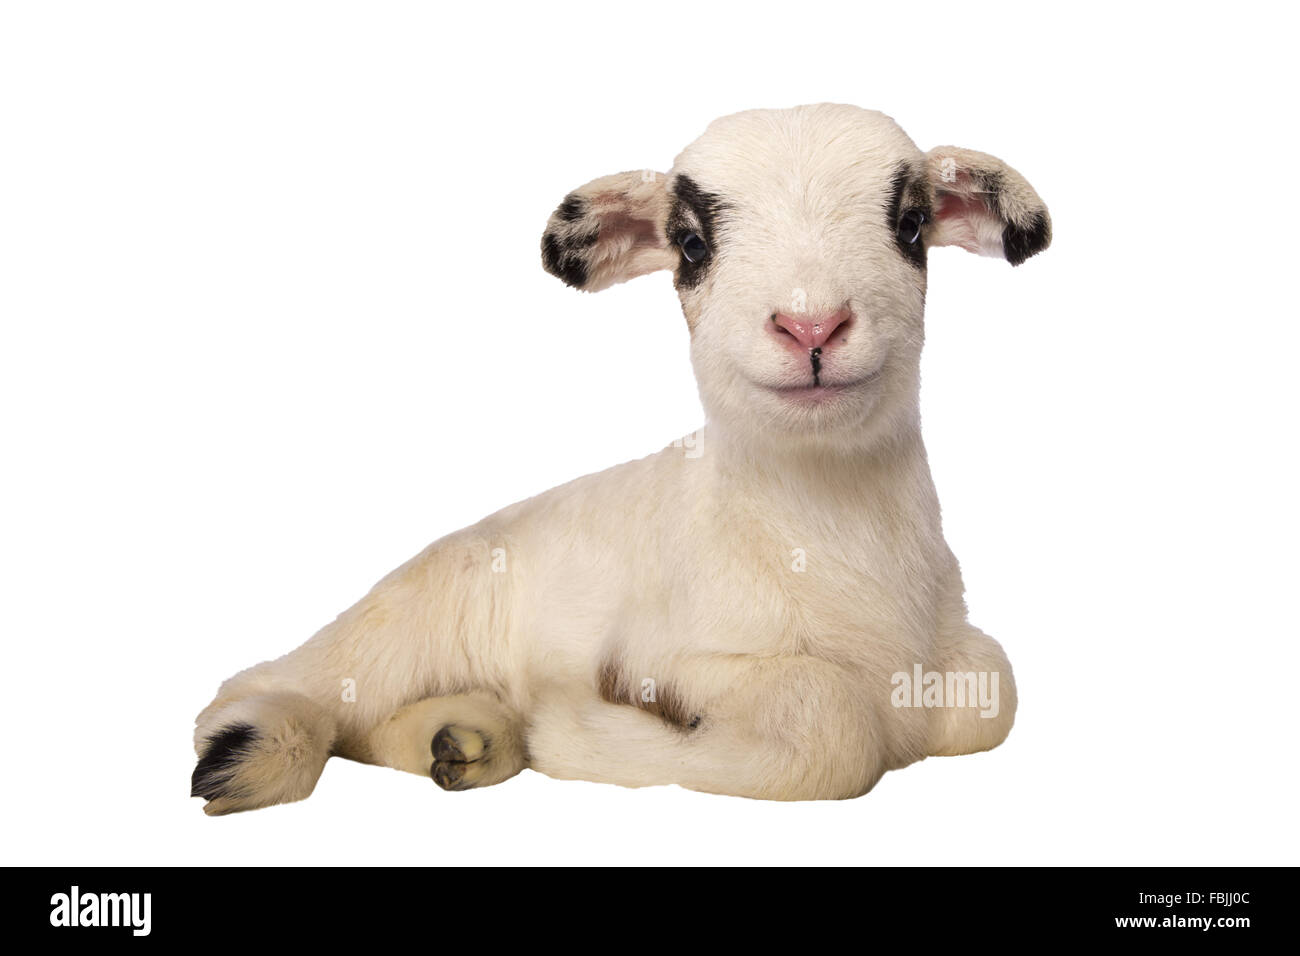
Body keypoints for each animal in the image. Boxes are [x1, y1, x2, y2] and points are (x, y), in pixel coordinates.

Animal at [191, 103, 1051, 813]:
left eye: (910, 227)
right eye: (694, 244)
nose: (812, 328)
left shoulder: (965, 659)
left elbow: (991, 695)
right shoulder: (668, 658)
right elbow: (830, 729)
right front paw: (578, 734)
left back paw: (463, 740)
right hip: (403, 624)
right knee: (277, 687)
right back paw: (250, 757)